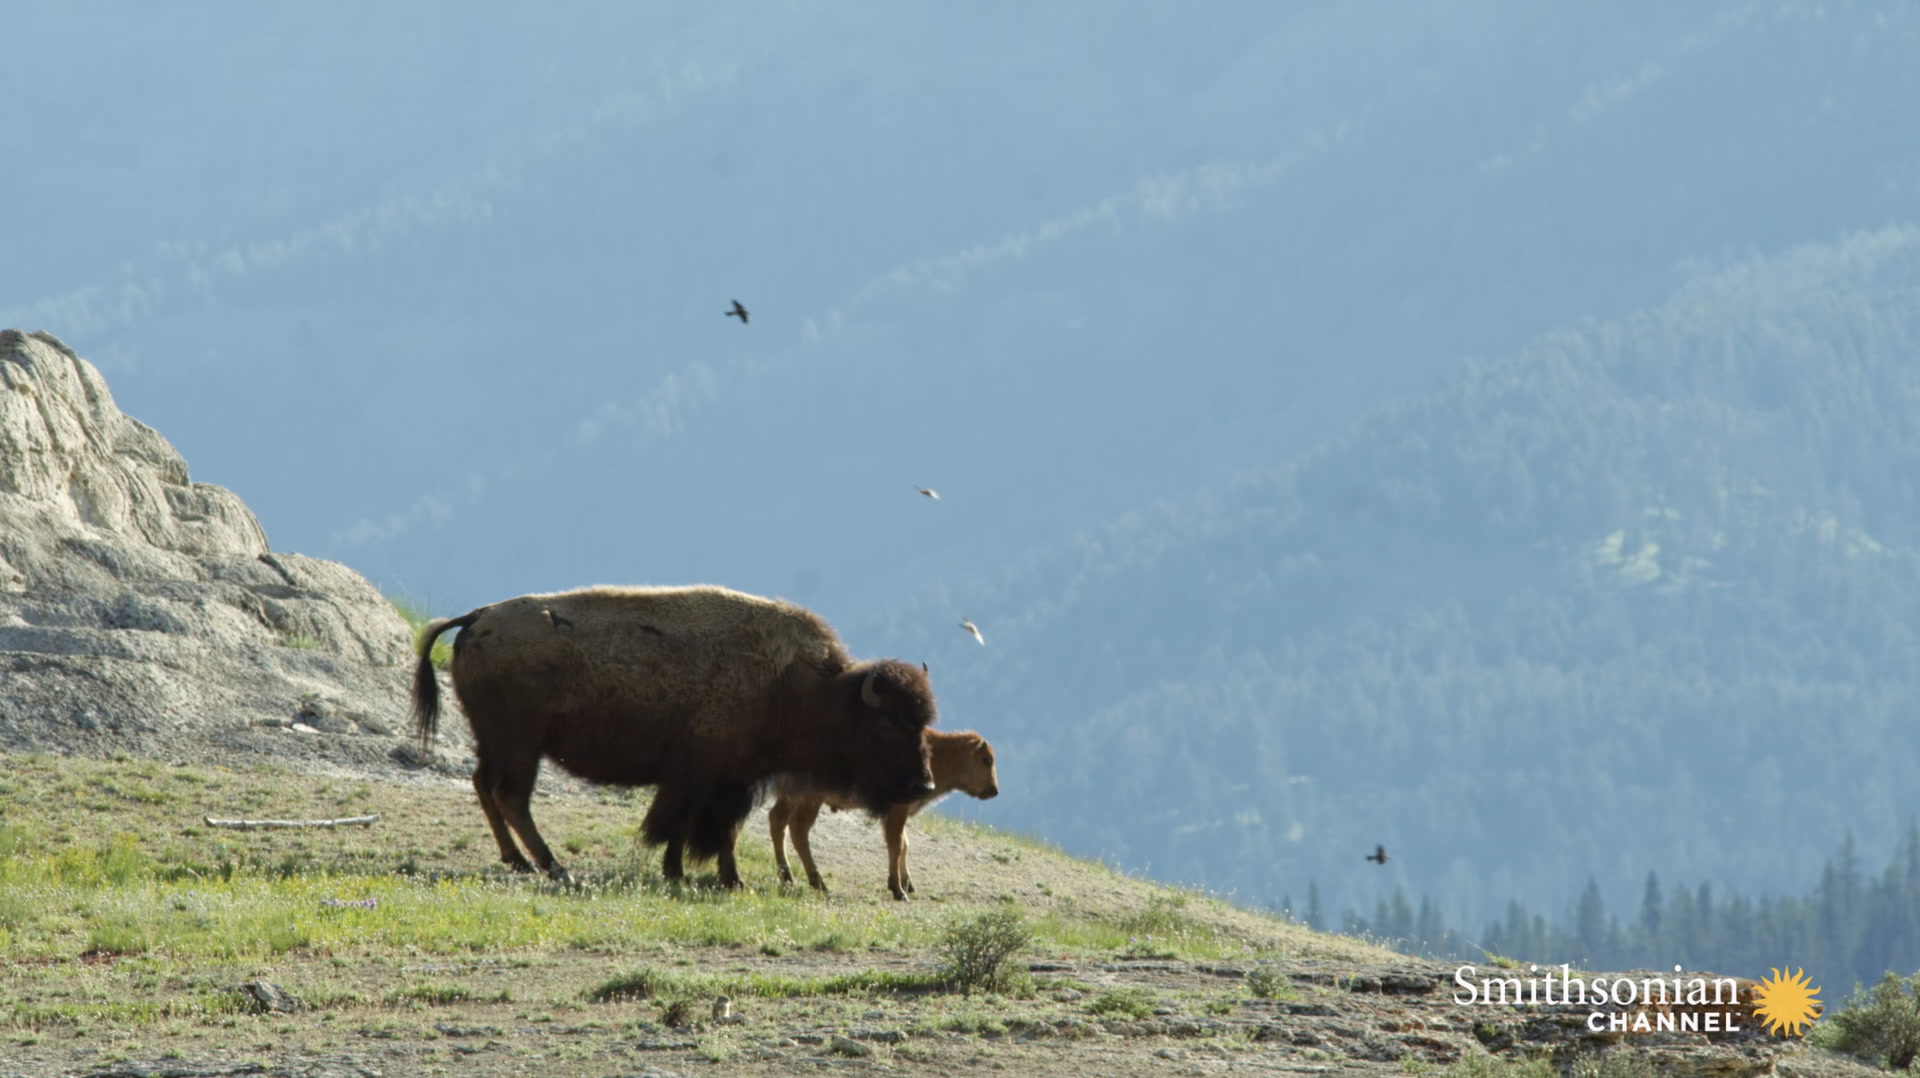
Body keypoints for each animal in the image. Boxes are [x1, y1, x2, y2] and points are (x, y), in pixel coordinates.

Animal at [411, 584, 937, 888]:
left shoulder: (729, 780)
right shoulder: (704, 777)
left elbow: (716, 831)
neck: (796, 682)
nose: (924, 784)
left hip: (497, 743)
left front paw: (709, 876)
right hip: (521, 746)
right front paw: (703, 875)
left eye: (924, 721)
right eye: (891, 723)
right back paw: (555, 867)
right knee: (512, 797)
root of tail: (477, 617)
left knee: (486, 788)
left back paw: (517, 861)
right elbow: (693, 827)